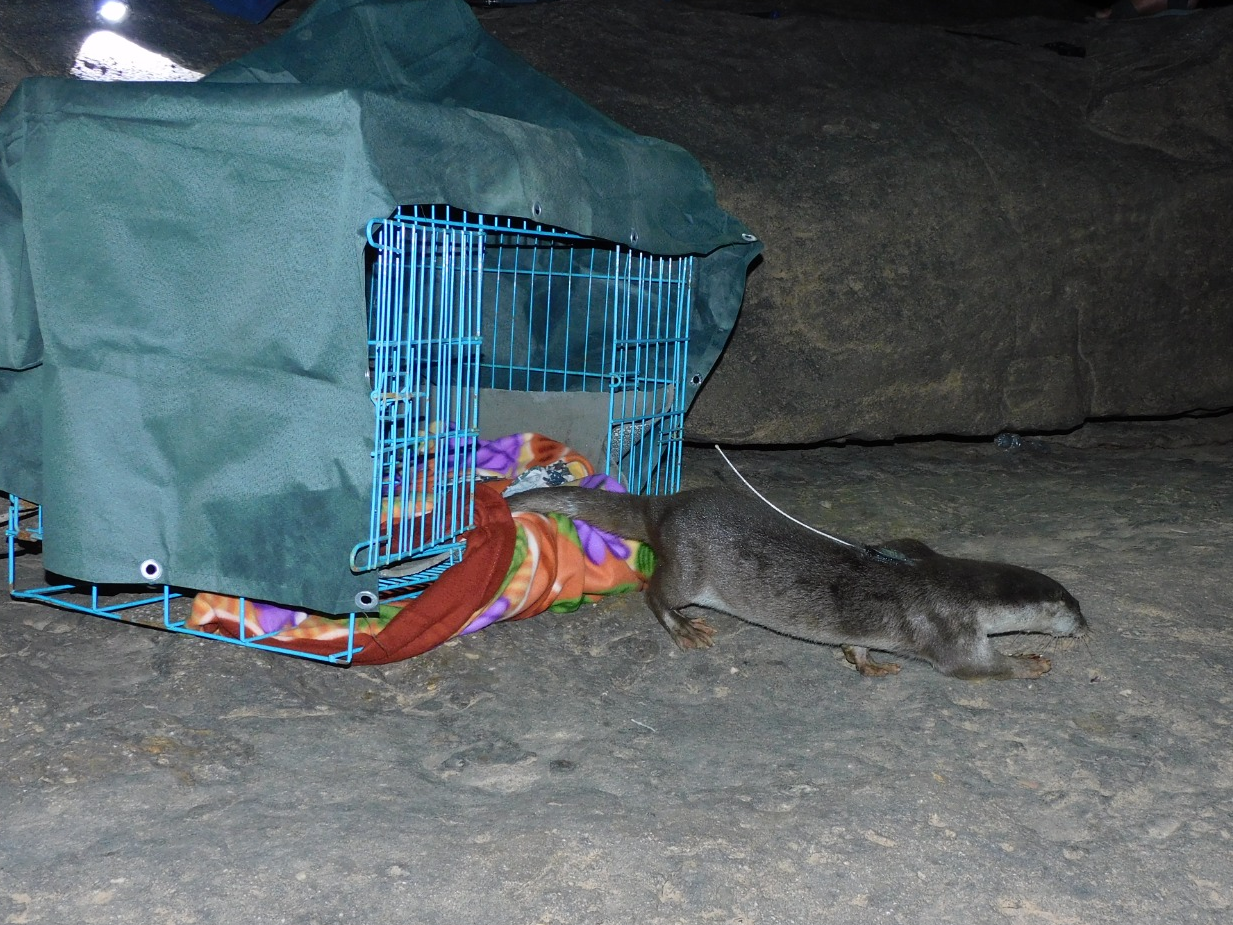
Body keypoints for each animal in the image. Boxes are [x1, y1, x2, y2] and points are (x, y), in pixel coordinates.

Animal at [507, 486, 1087, 680]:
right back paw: (685, 630)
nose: (1086, 625)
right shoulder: (949, 627)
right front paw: (1032, 661)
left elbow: (857, 643)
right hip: (690, 568)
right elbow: (975, 665)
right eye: (1070, 605)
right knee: (655, 592)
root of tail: (664, 506)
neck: (953, 583)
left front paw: (867, 662)